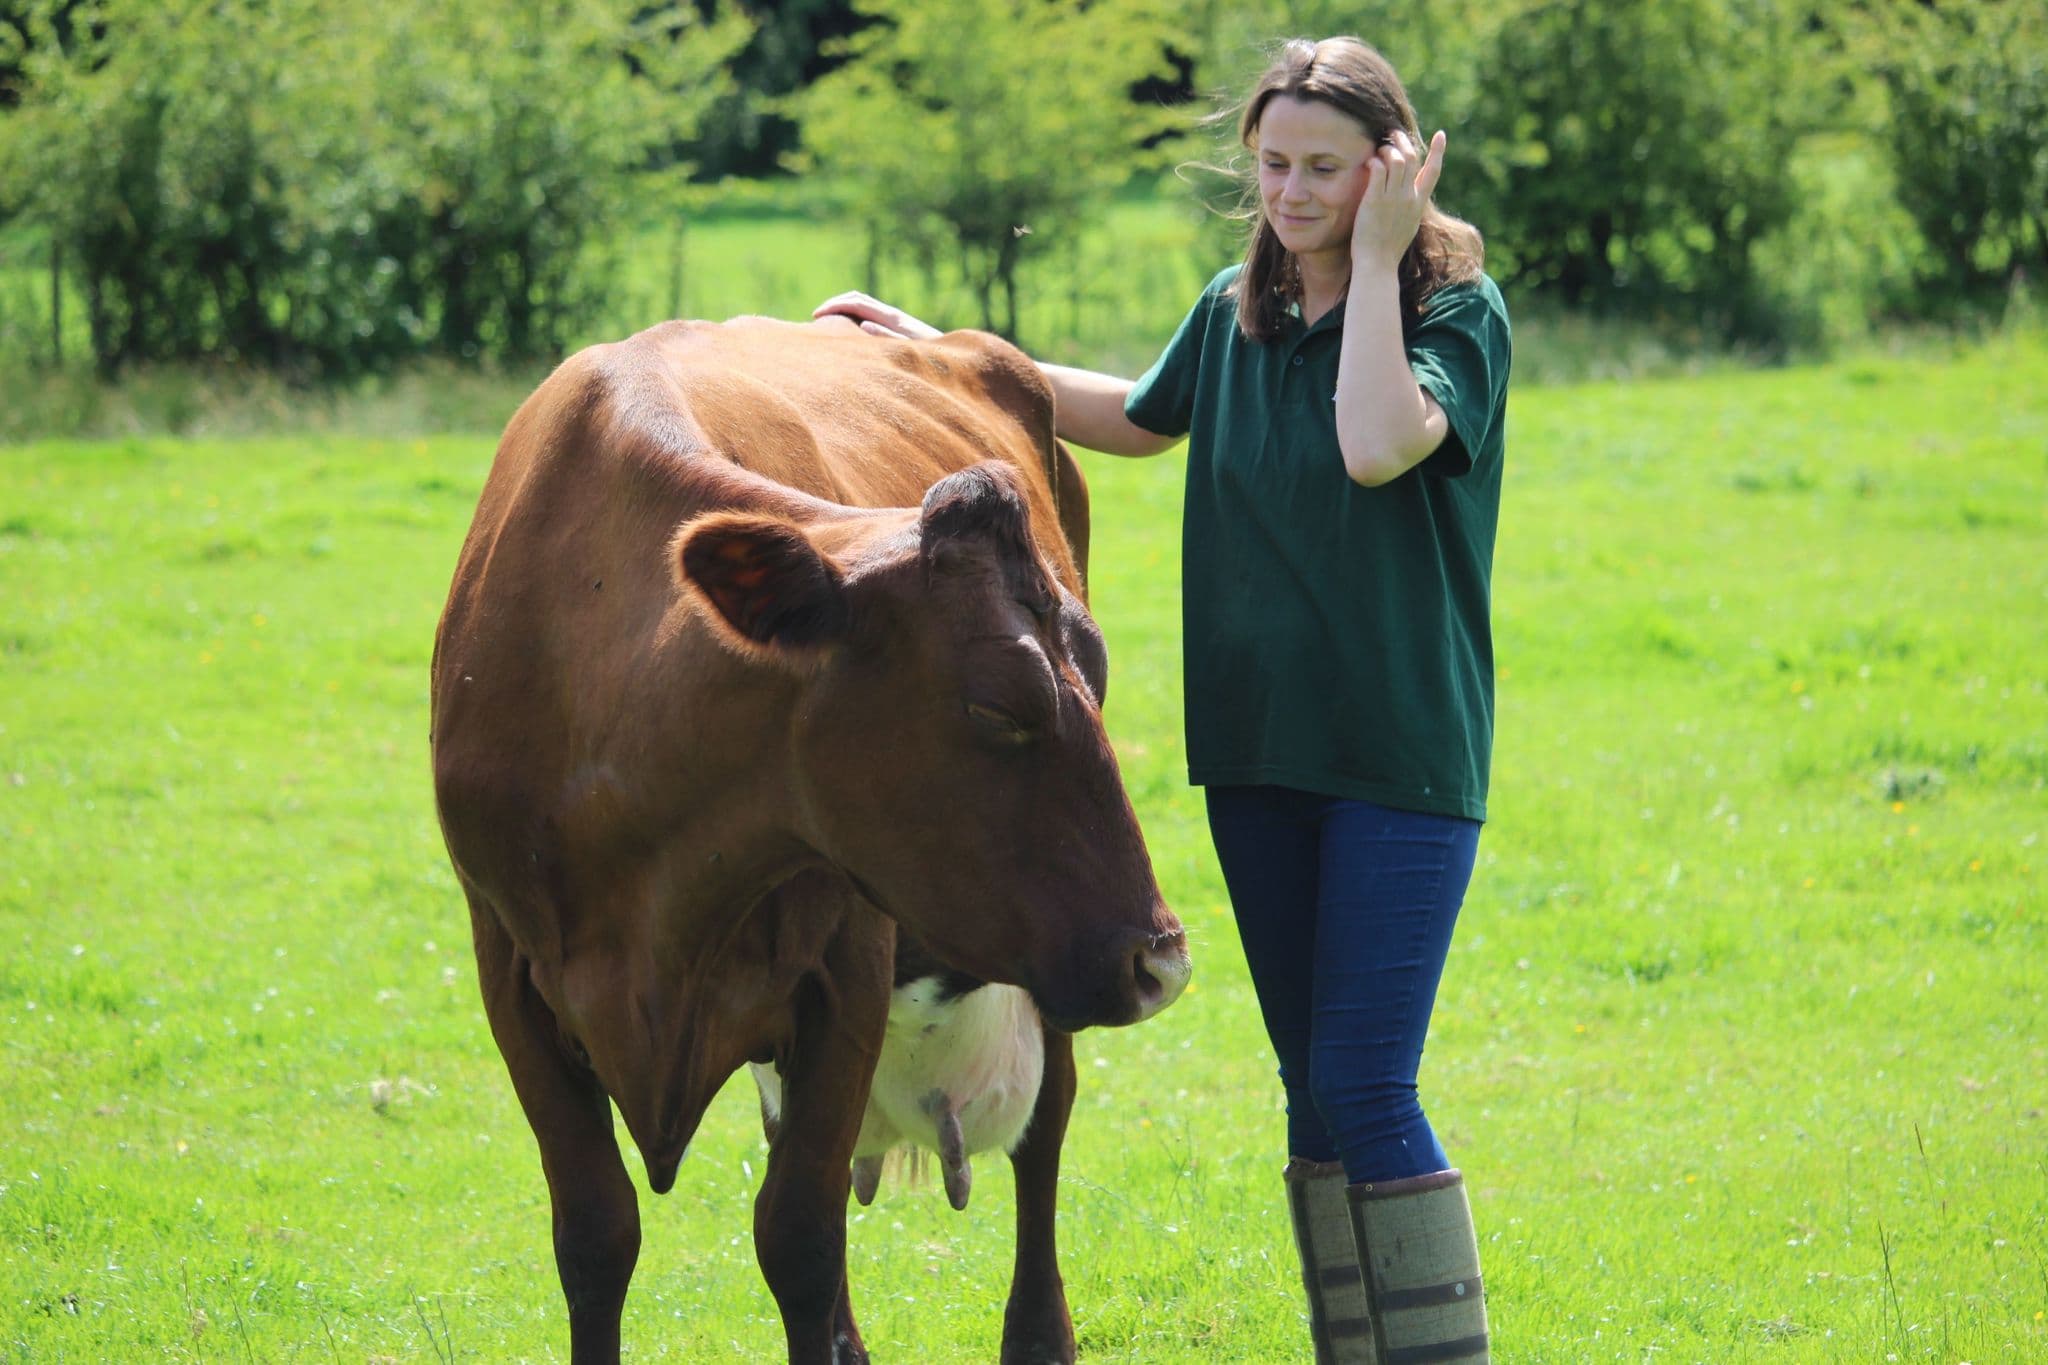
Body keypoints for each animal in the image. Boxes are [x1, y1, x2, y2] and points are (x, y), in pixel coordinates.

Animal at [429, 315, 1192, 1364]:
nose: (1163, 958)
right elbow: (594, 1233)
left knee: (1047, 1123)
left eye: (1100, 670)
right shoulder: (508, 967)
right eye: (1000, 705)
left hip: (1049, 957)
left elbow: (797, 1235)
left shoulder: (845, 970)